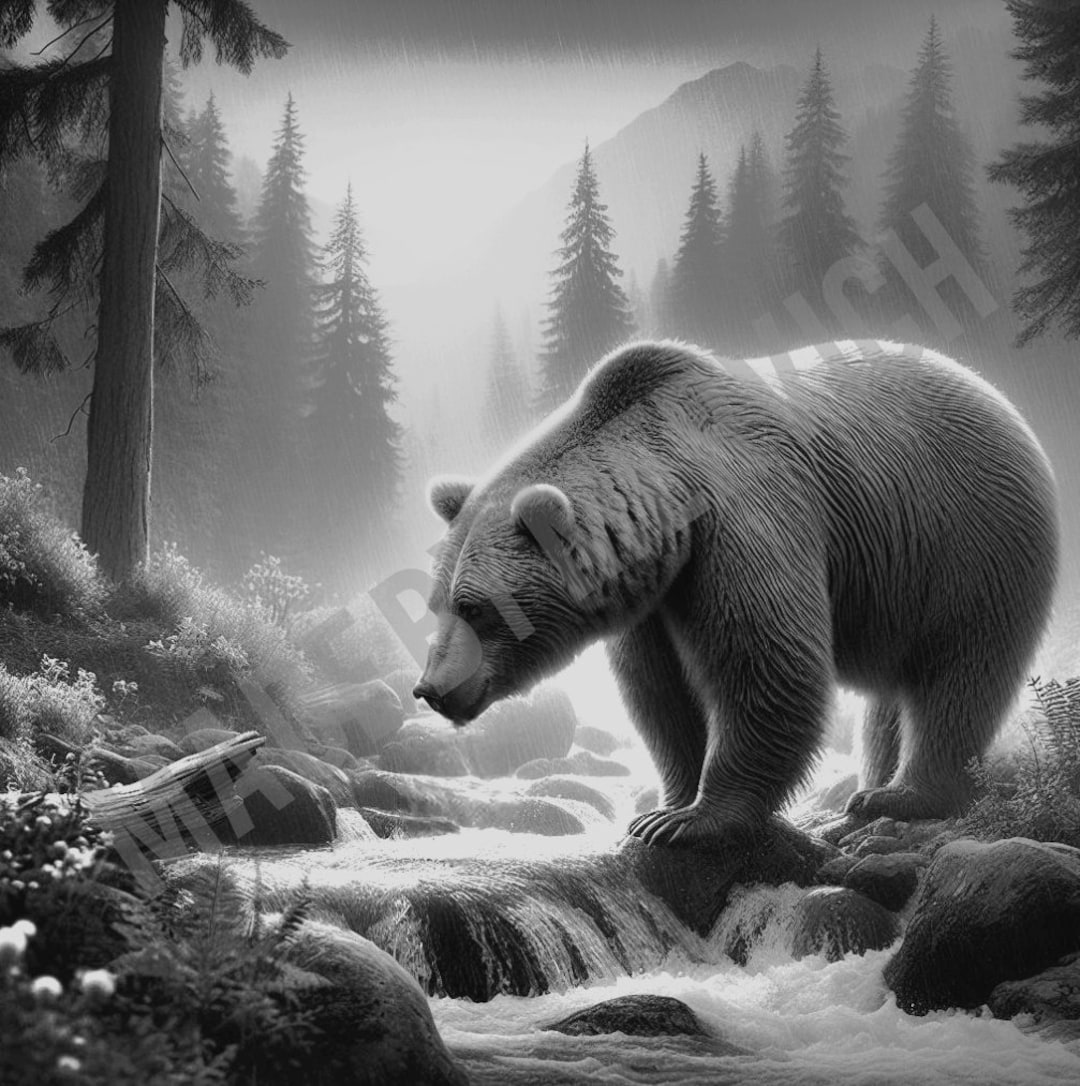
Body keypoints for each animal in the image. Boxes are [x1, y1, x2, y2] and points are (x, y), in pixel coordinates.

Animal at [413, 339, 1059, 847]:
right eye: (437, 606)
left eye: (475, 608)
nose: (430, 689)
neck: (665, 504)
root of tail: (993, 392)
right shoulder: (656, 596)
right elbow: (661, 695)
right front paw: (664, 807)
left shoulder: (743, 516)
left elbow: (765, 663)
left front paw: (691, 820)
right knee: (891, 702)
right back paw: (870, 787)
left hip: (971, 542)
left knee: (957, 675)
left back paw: (898, 797)